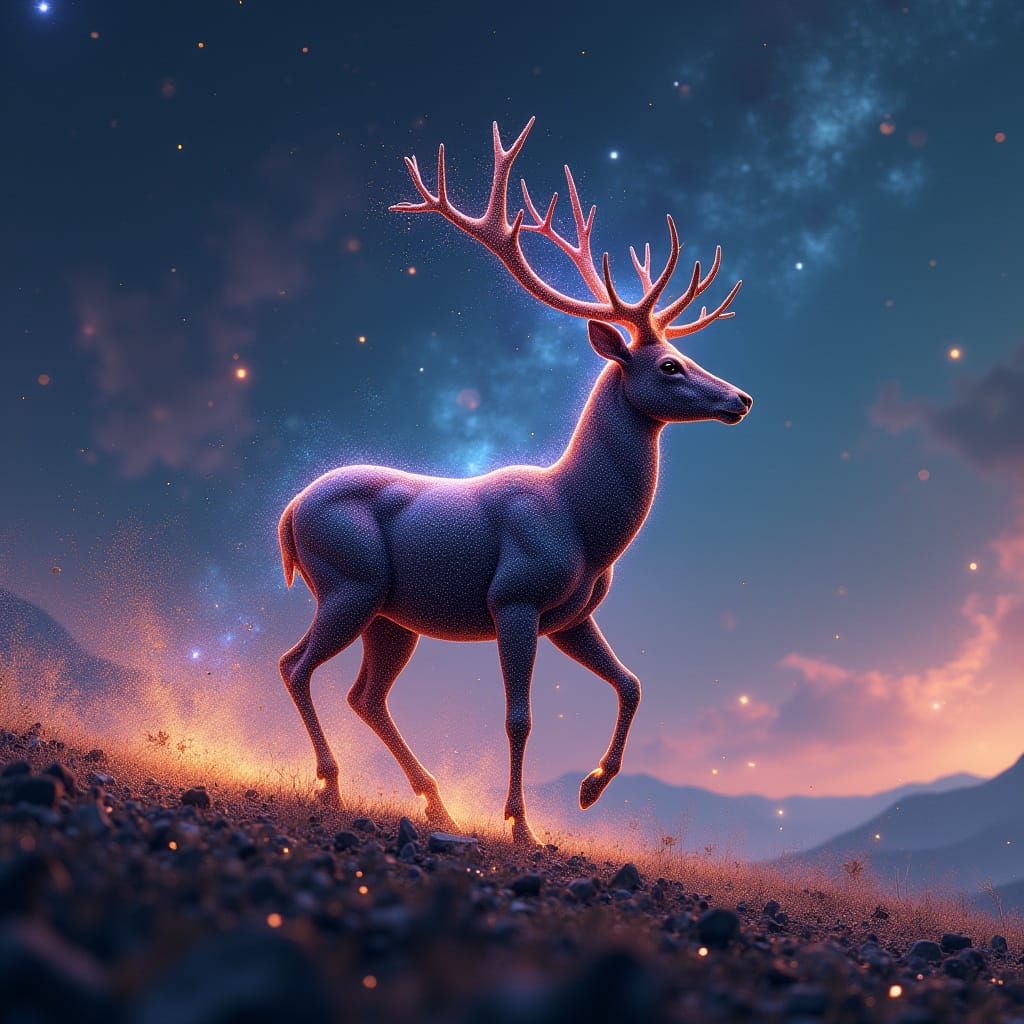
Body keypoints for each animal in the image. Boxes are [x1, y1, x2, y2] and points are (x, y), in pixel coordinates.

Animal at [278, 117, 752, 844]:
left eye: (686, 354)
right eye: (669, 366)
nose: (741, 399)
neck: (583, 522)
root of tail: (288, 511)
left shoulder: (572, 614)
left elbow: (633, 683)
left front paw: (589, 788)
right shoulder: (515, 597)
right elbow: (519, 718)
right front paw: (522, 825)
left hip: (390, 614)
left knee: (362, 692)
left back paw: (435, 801)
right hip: (346, 583)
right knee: (298, 666)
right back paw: (332, 785)